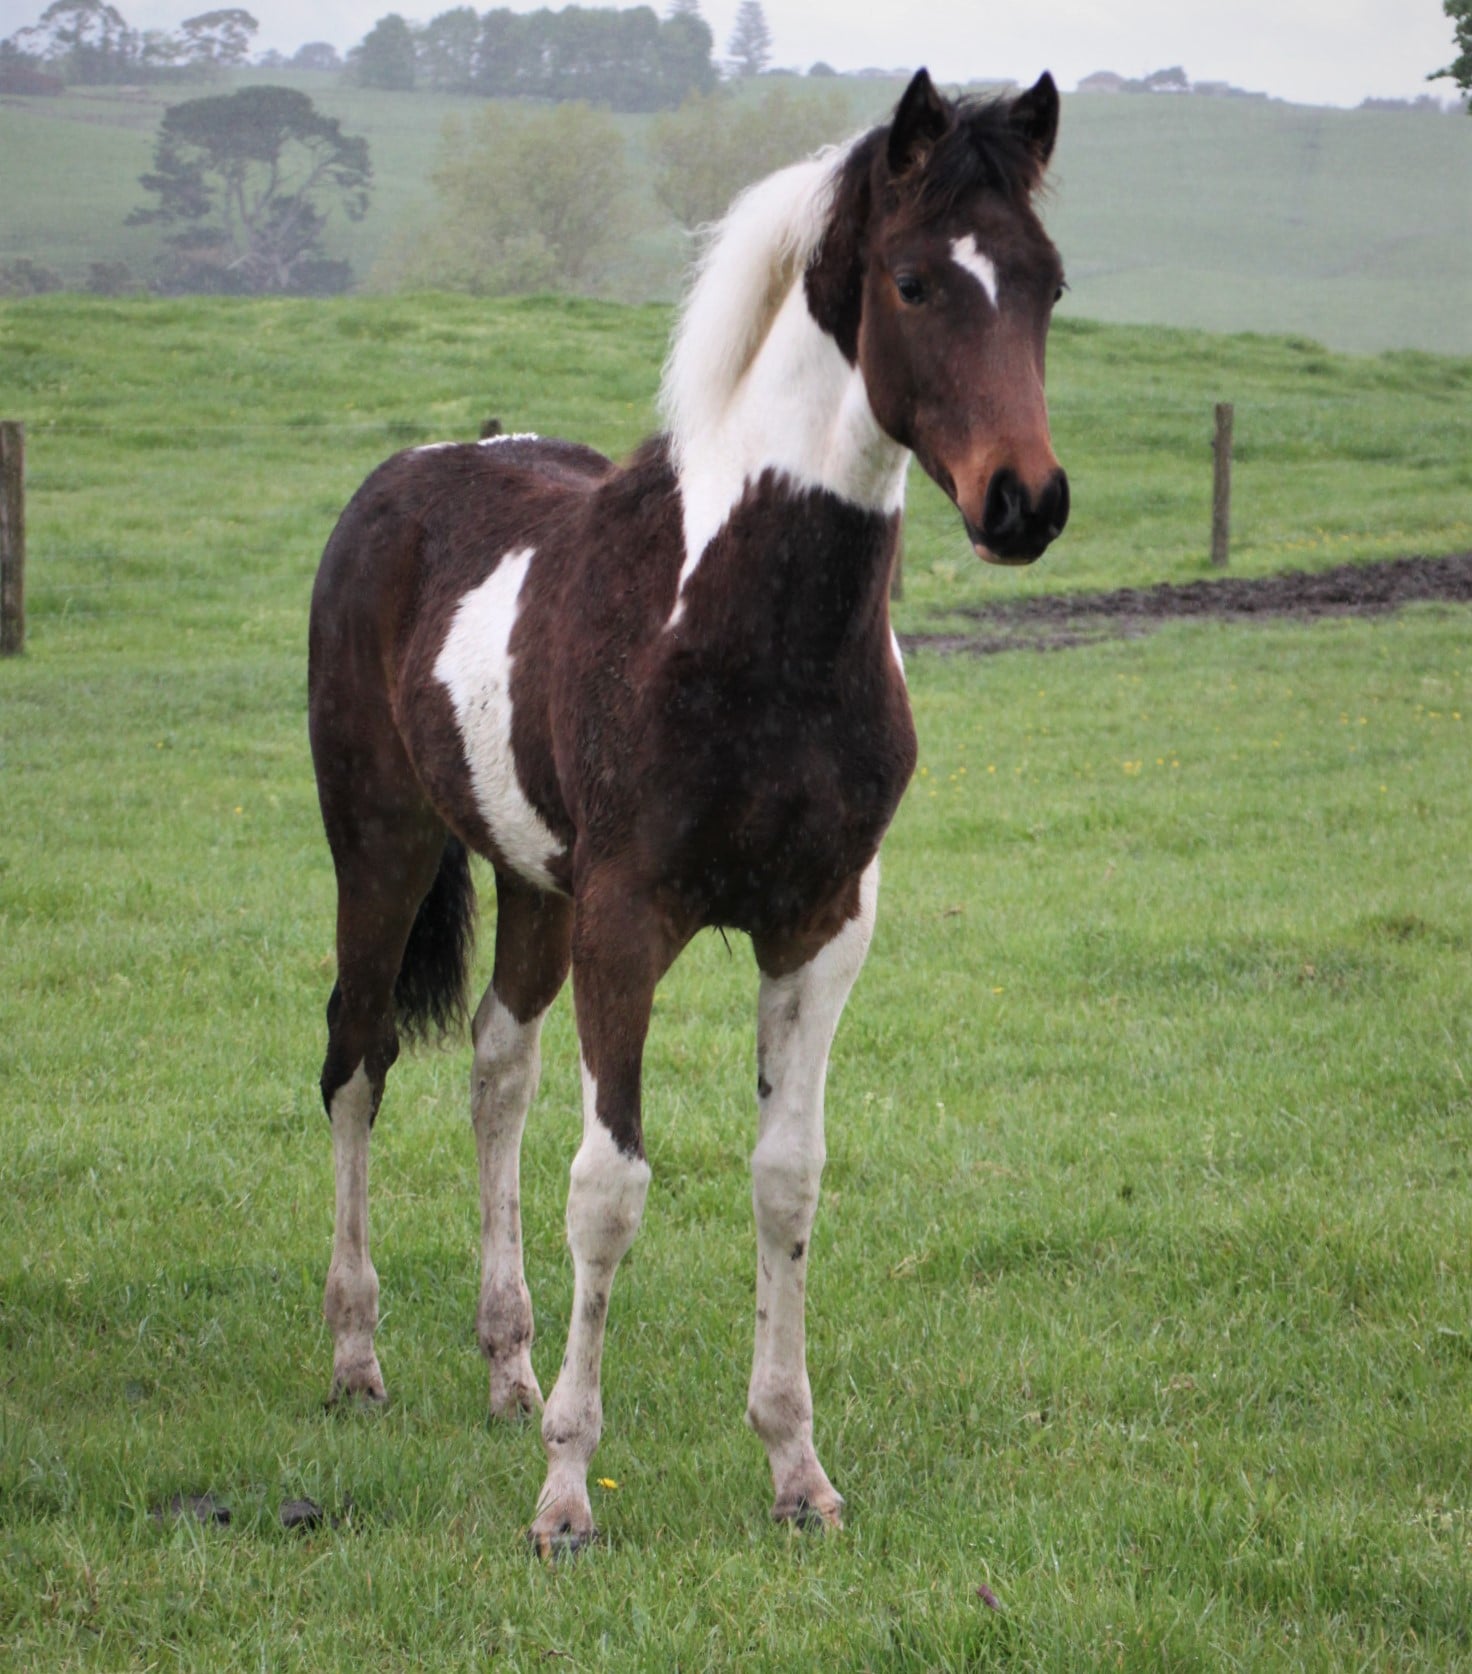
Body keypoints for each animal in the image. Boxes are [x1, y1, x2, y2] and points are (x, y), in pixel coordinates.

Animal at [307, 67, 1069, 1555]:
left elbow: (786, 1177)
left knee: (494, 1069)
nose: (1023, 502)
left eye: (1046, 285)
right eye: (911, 282)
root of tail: (396, 482)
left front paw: (795, 1469)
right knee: (356, 1063)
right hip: (381, 850)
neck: (746, 628)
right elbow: (609, 1188)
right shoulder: (629, 920)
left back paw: (507, 1366)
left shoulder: (820, 928)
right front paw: (565, 1497)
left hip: (531, 885)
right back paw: (358, 1356)